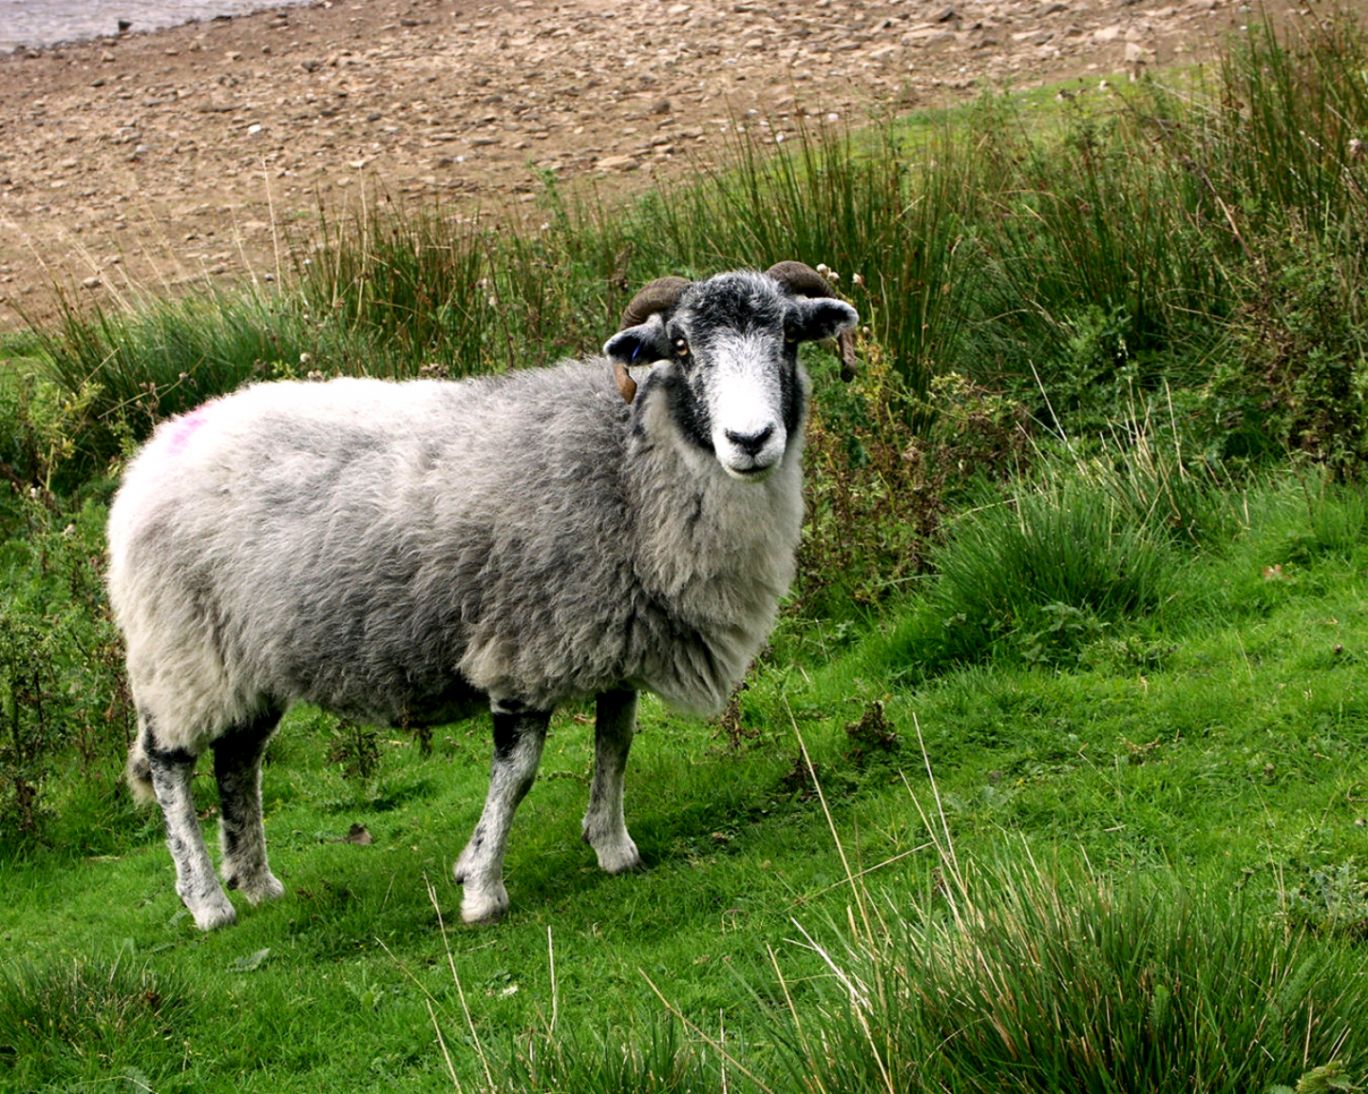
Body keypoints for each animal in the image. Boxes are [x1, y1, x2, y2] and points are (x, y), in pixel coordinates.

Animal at [107, 262, 859, 929]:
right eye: (681, 347)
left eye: (790, 337)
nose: (750, 440)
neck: (629, 466)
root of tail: (156, 452)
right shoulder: (524, 649)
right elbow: (518, 774)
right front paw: (481, 890)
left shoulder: (616, 635)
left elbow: (616, 745)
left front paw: (613, 847)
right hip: (182, 652)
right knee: (171, 766)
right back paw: (208, 902)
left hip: (249, 661)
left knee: (239, 763)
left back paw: (257, 882)